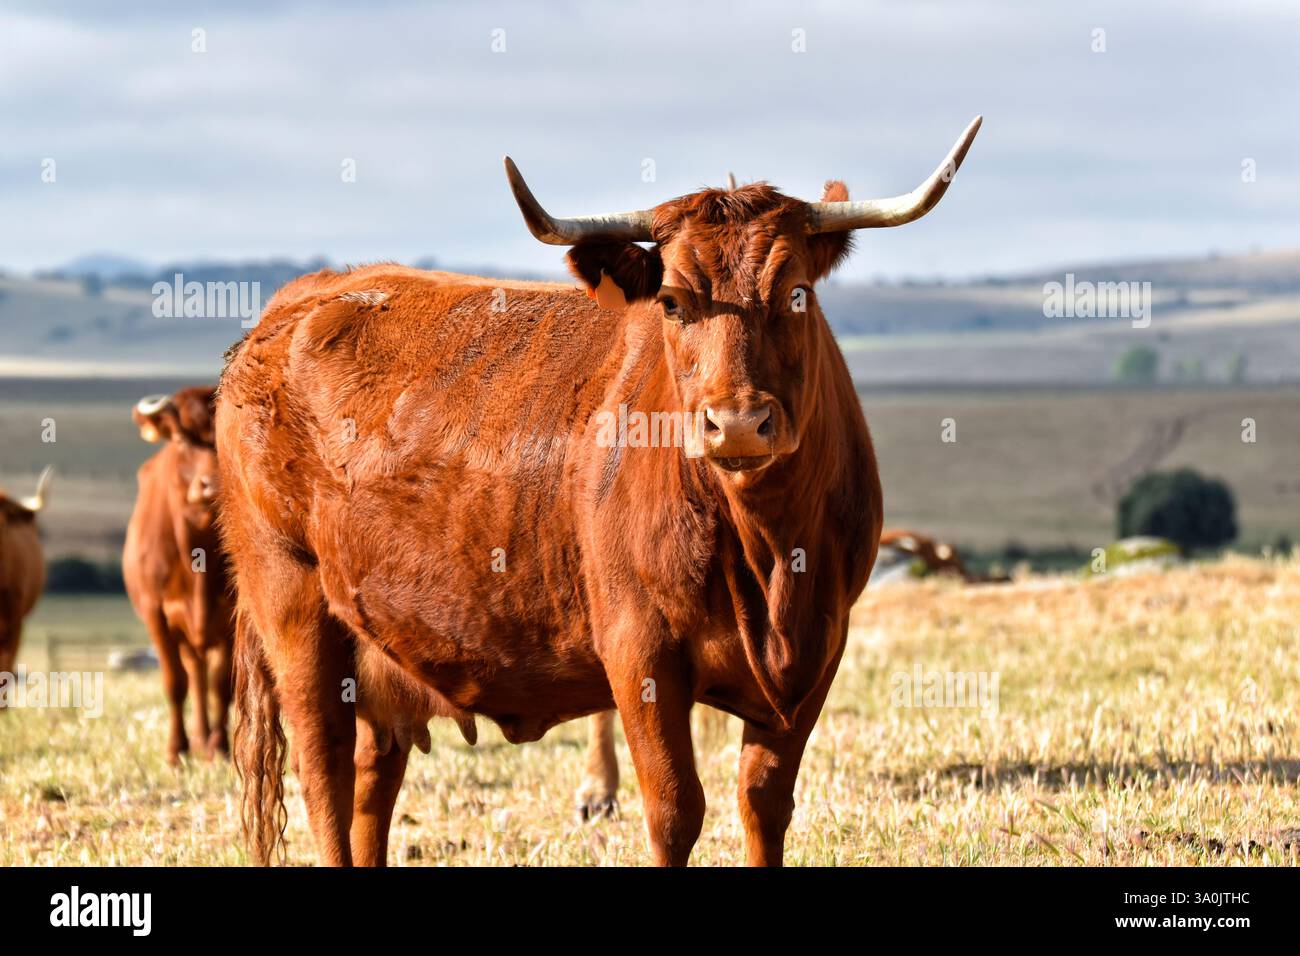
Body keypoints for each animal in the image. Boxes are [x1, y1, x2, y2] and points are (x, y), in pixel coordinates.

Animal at [123, 387, 235, 762]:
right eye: (184, 440)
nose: (211, 486)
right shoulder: (156, 614)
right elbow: (175, 682)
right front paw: (176, 750)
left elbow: (221, 684)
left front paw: (220, 747)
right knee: (193, 673)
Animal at [218, 116, 982, 866]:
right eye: (671, 302)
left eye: (796, 293)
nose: (737, 421)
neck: (767, 553)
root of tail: (296, 304)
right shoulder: (639, 649)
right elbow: (675, 811)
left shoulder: (816, 654)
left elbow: (764, 804)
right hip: (293, 607)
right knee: (324, 773)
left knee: (373, 779)